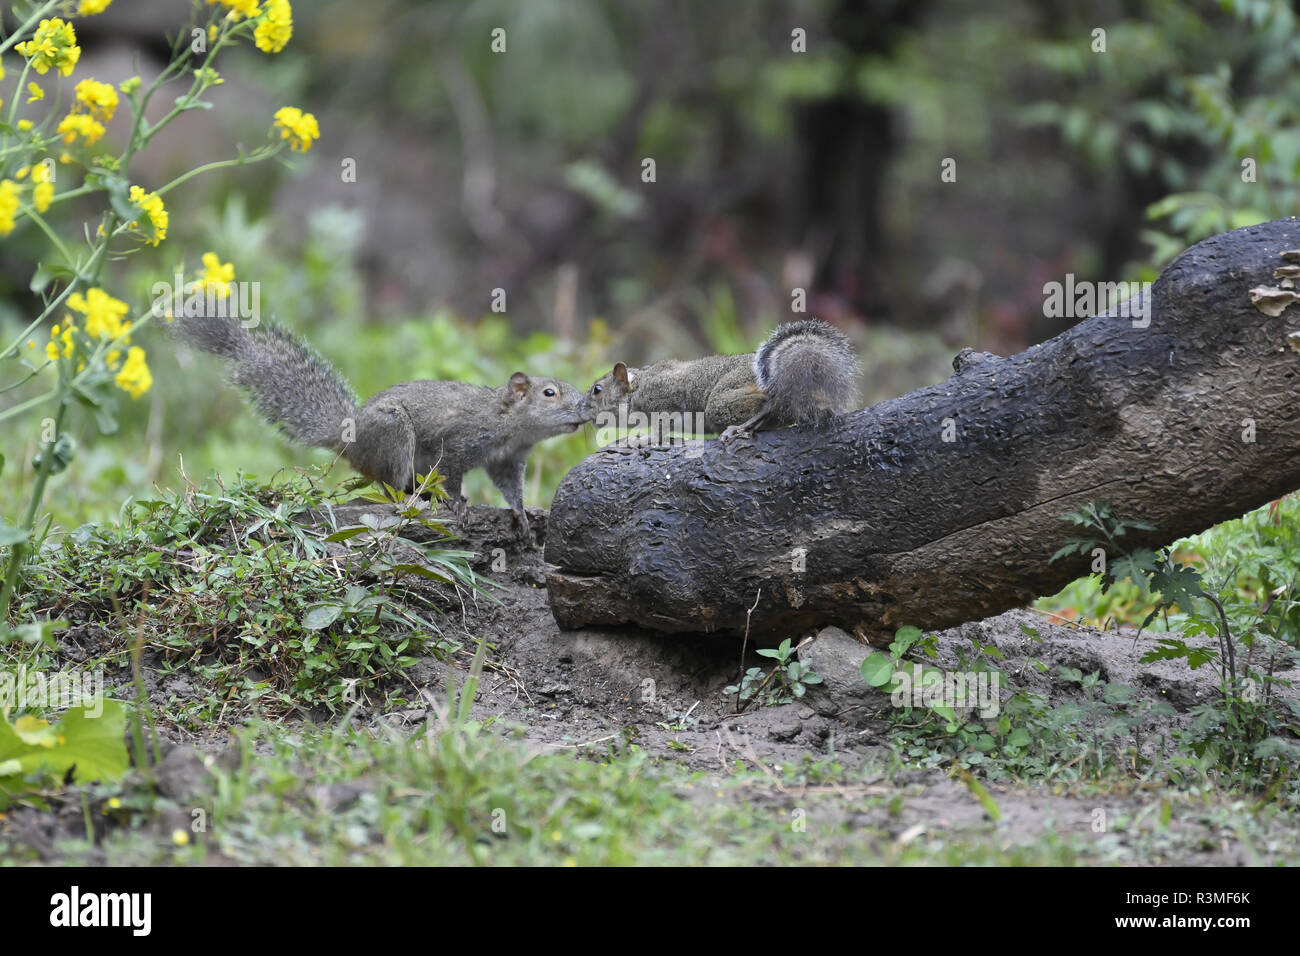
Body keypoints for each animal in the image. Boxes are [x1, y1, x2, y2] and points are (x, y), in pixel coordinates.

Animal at [173, 313, 589, 536]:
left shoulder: (508, 460)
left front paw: (522, 516)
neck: (508, 422)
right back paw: (414, 499)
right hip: (394, 435)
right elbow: (452, 474)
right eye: (550, 393)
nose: (585, 411)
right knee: (391, 483)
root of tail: (350, 440)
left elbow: (510, 488)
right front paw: (458, 506)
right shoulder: (461, 442)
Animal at [585, 318, 859, 441]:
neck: (640, 385)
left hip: (723, 400)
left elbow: (661, 427)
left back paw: (739, 428)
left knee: (766, 404)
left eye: (597, 389)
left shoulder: (664, 399)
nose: (583, 410)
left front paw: (645, 438)